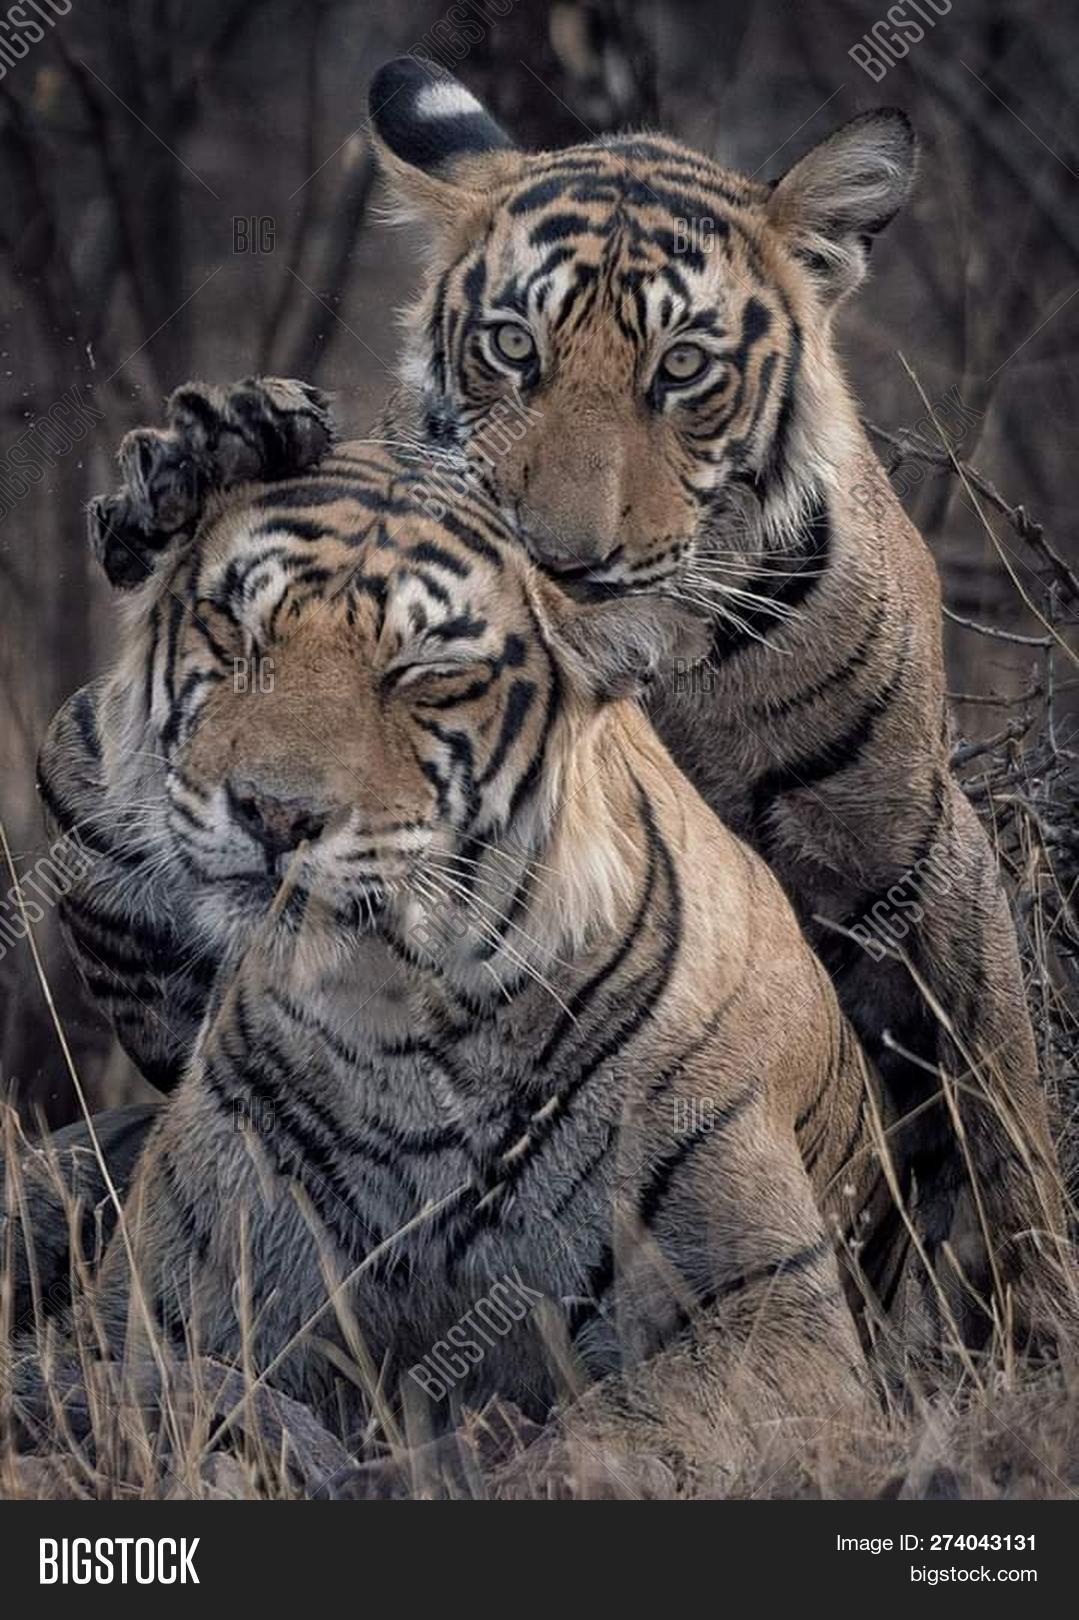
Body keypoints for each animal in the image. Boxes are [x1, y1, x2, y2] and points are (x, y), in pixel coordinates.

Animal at [31, 422, 889, 1497]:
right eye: (236, 631)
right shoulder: (152, 1303)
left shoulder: (773, 1312)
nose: (272, 812)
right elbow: (138, 1381)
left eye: (424, 673)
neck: (401, 1016)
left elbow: (615, 1435)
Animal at [352, 55, 1072, 1348]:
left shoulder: (919, 848)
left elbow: (999, 1101)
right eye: (510, 347)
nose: (563, 563)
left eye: (681, 367)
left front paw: (1039, 1335)